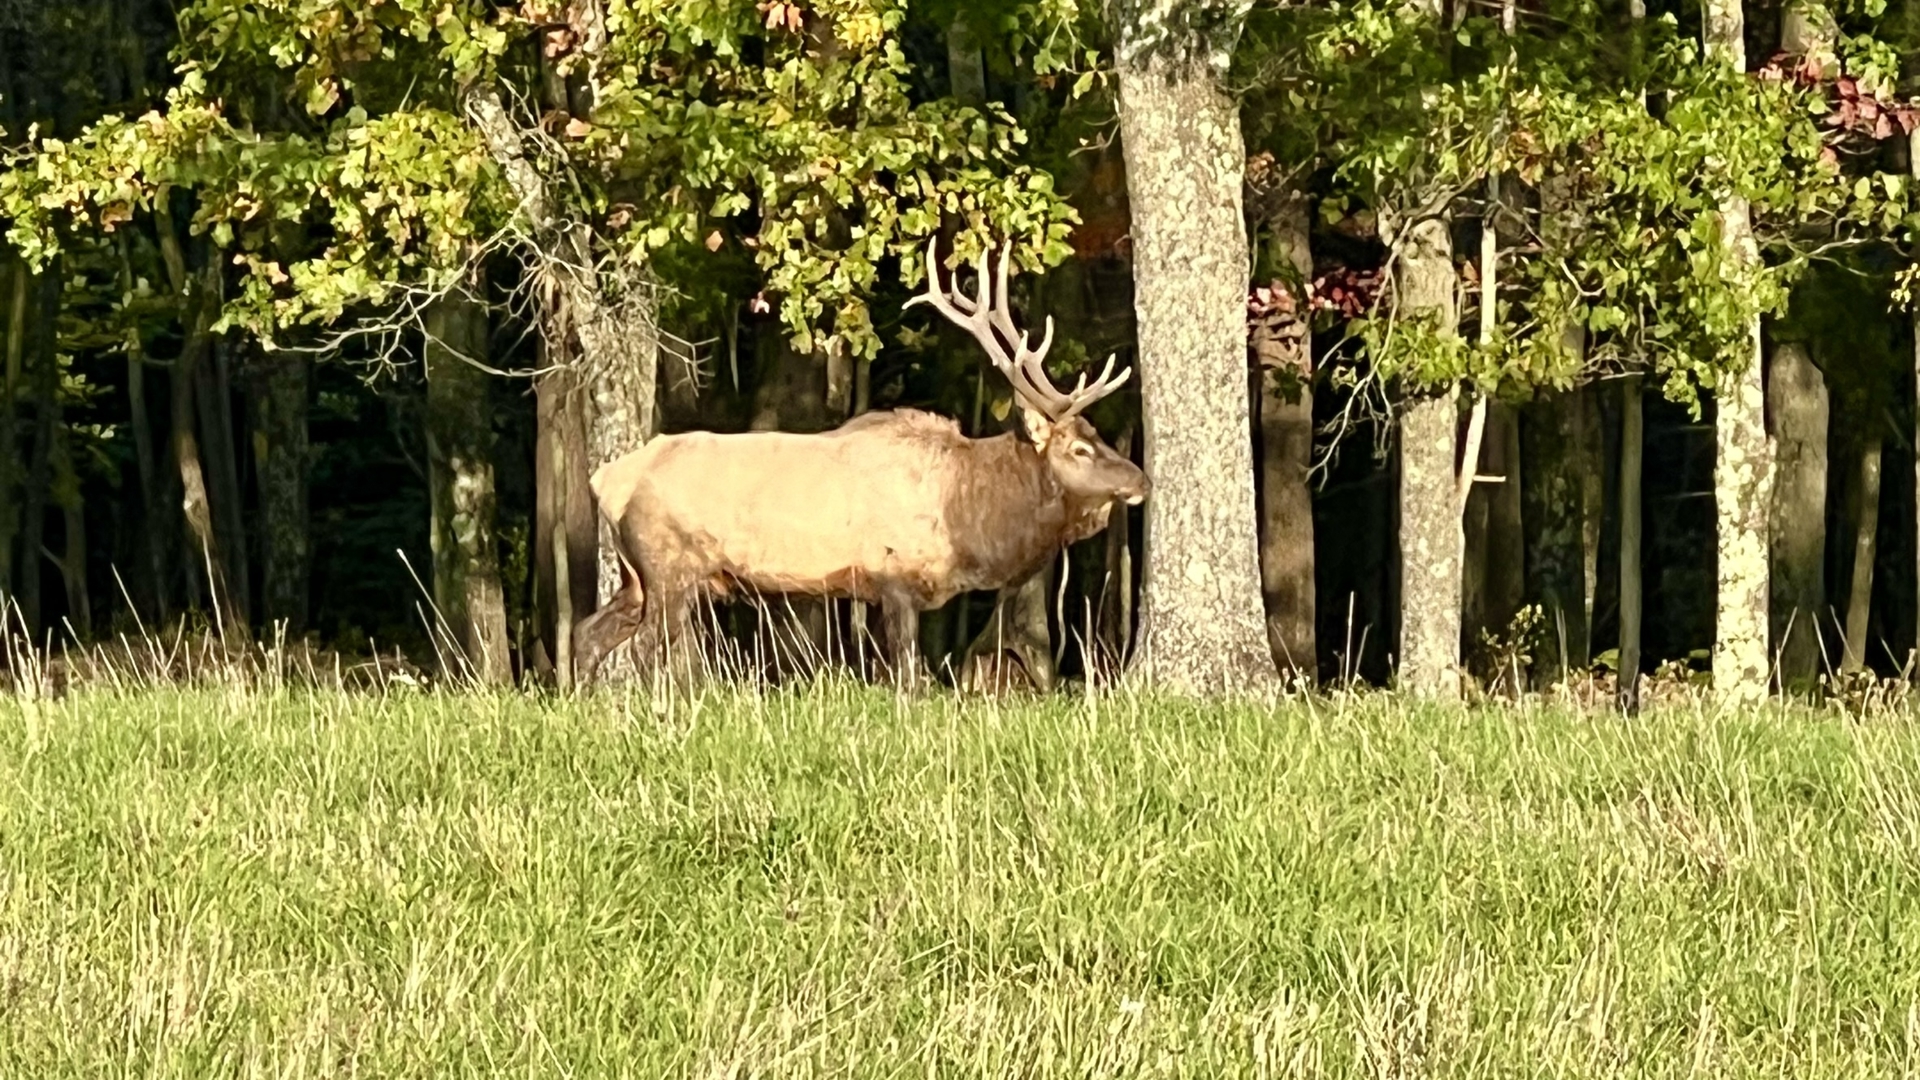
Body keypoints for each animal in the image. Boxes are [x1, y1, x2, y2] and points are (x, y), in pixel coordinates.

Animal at [572, 235, 1148, 689]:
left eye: (1098, 435)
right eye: (1079, 448)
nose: (1140, 477)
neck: (965, 522)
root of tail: (607, 479)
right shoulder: (893, 577)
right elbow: (909, 679)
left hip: (636, 574)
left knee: (587, 634)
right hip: (668, 563)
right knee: (646, 649)